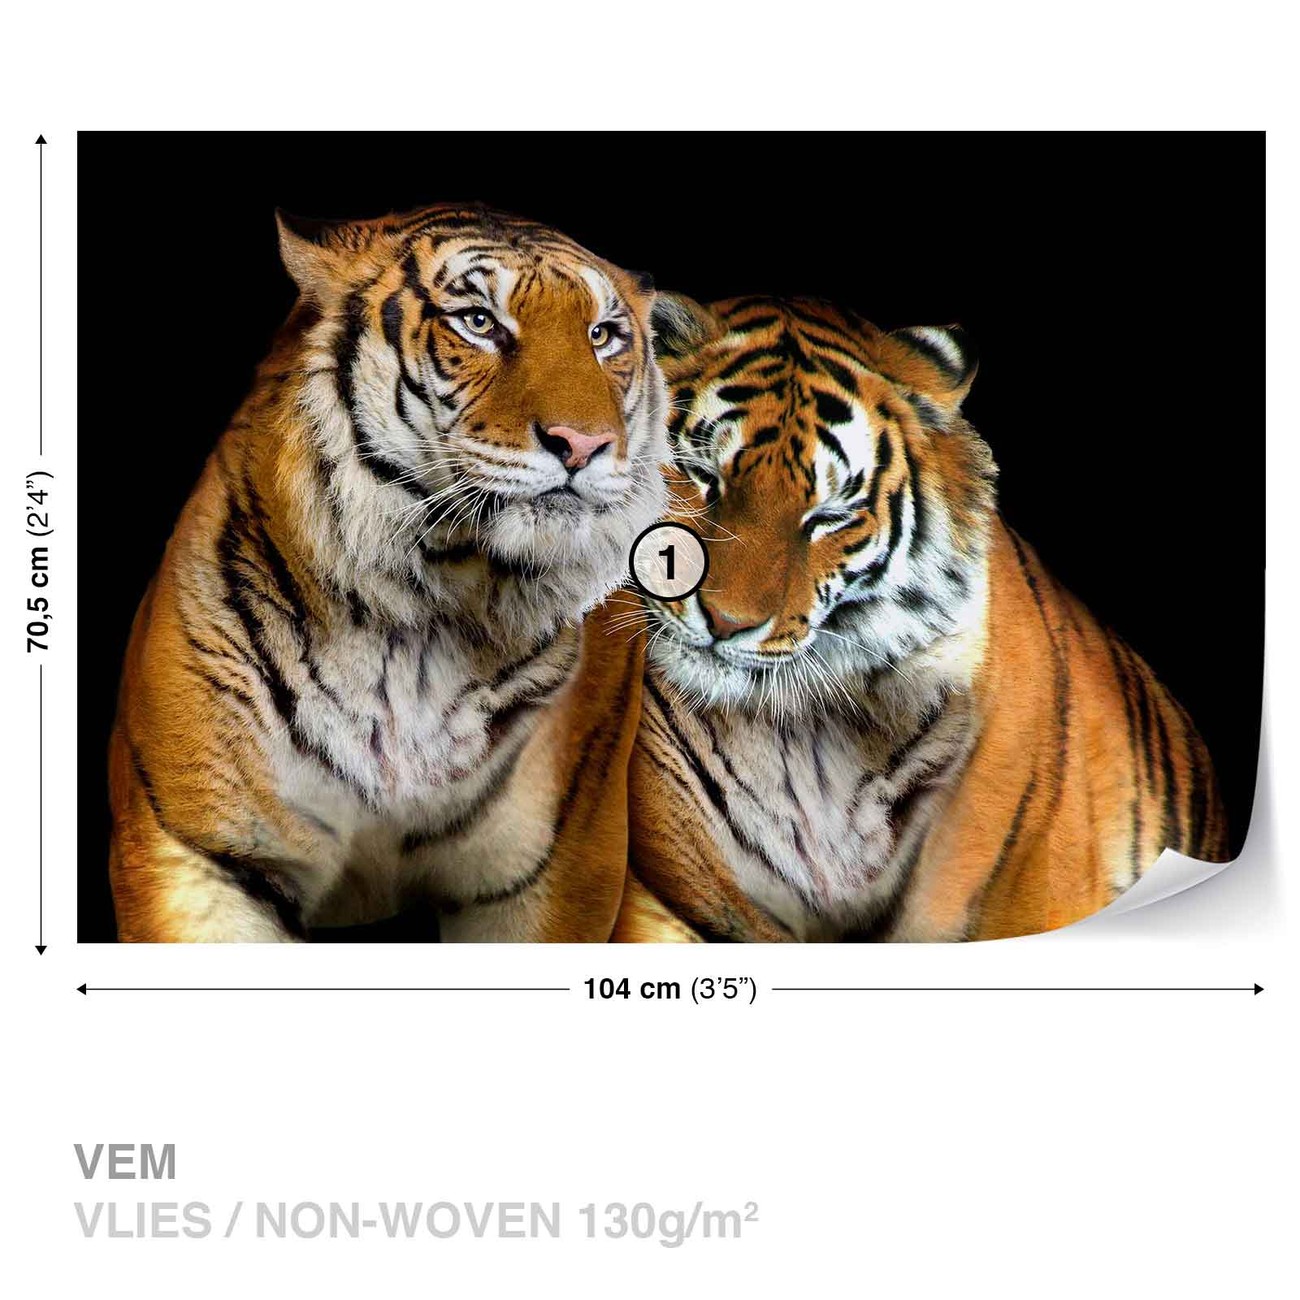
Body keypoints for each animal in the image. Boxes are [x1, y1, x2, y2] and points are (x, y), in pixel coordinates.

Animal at [108, 203, 672, 942]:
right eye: (479, 321)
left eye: (602, 336)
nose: (584, 444)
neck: (421, 620)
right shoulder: (197, 850)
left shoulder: (554, 871)